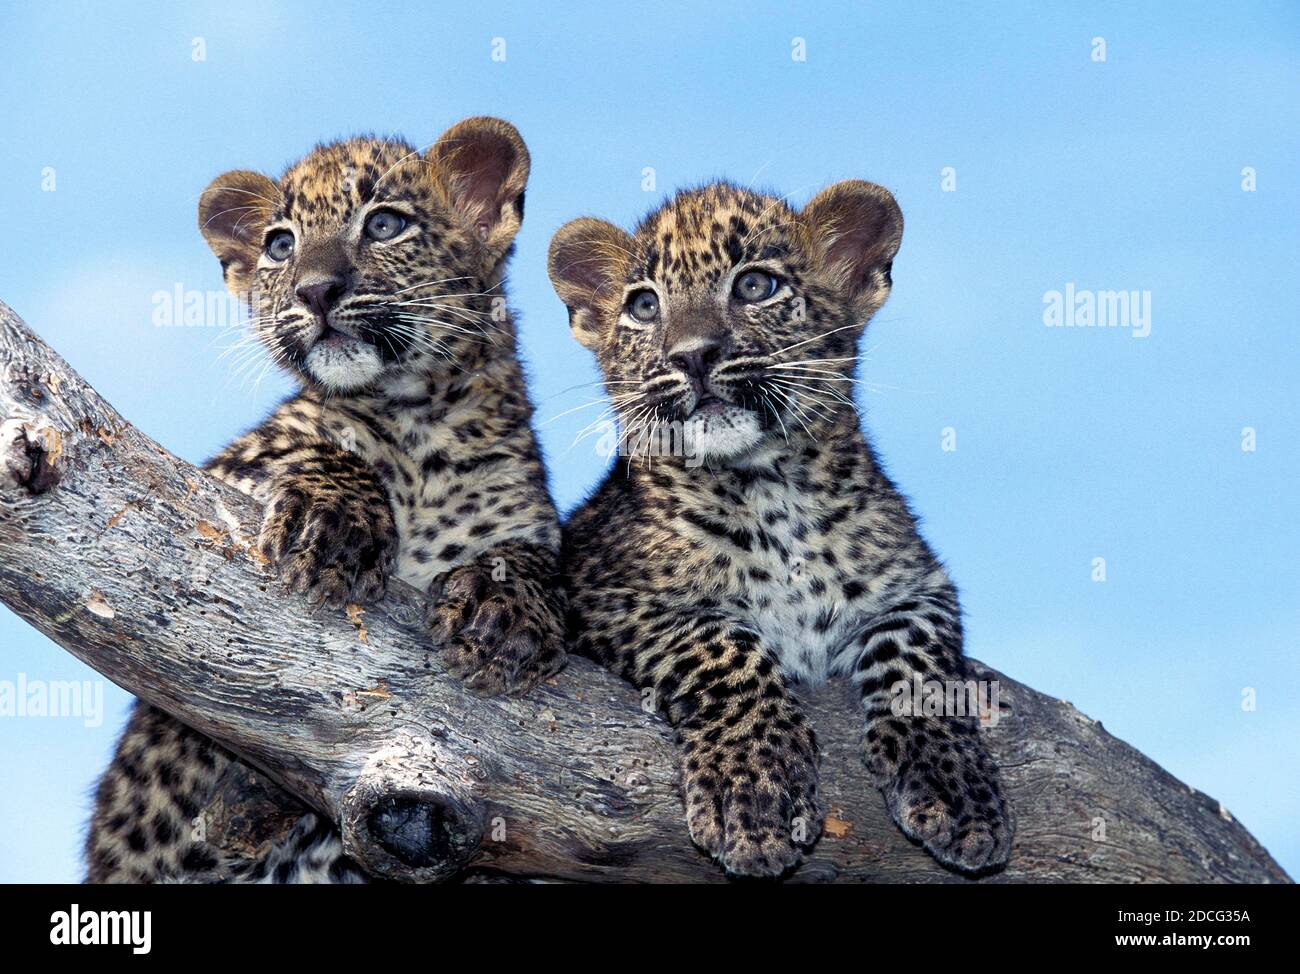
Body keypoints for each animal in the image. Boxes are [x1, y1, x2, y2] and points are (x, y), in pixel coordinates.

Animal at [84, 116, 566, 883]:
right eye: (280, 244)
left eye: (386, 224)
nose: (315, 290)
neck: (420, 418)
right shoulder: (215, 474)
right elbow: (317, 447)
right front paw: (336, 523)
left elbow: (538, 561)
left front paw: (503, 610)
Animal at [549, 179, 1013, 879]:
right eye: (644, 305)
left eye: (755, 286)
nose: (693, 355)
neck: (772, 490)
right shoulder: (600, 589)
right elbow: (721, 642)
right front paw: (754, 791)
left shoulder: (918, 583)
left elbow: (919, 664)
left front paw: (955, 785)